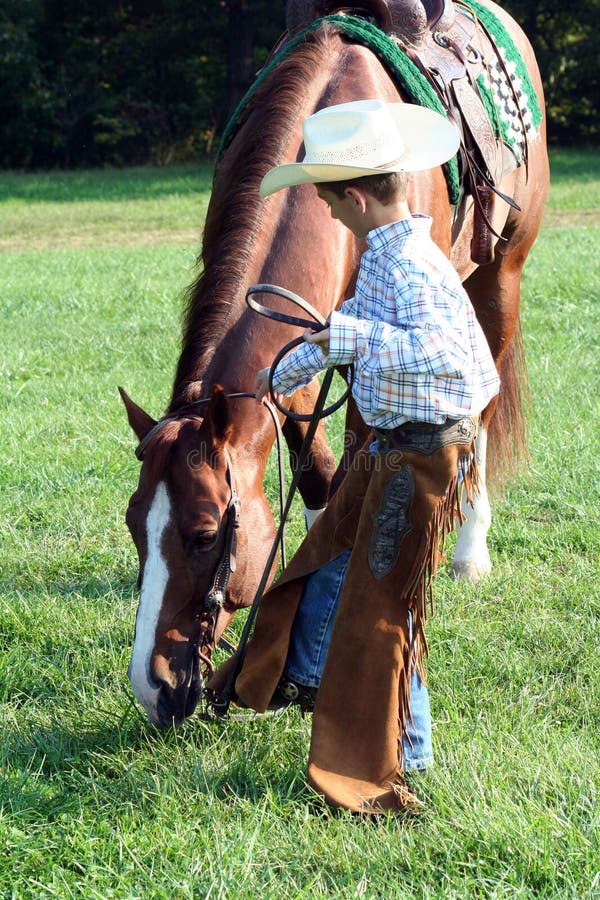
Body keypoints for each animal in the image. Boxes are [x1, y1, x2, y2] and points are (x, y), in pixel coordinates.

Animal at [120, 0, 549, 726]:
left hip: (501, 276)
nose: (151, 689)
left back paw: (470, 548)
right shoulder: (302, 353)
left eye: (204, 535)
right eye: (133, 525)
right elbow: (318, 475)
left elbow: (358, 482)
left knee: (482, 409)